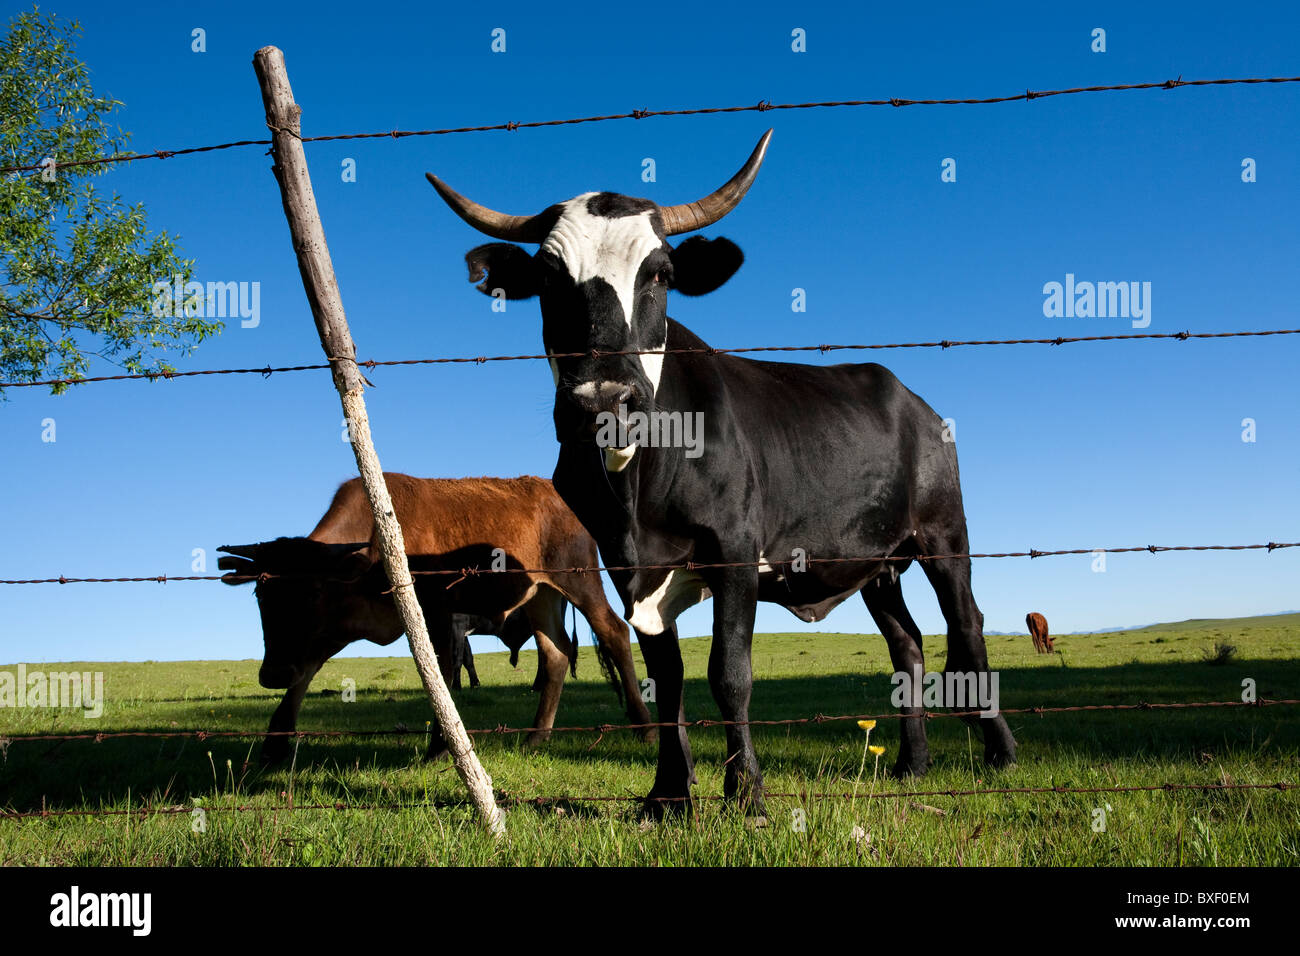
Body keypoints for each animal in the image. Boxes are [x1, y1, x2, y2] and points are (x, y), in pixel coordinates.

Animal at [218, 474, 653, 764]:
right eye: (261, 595)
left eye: (313, 592)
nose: (271, 674)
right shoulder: (338, 626)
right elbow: (306, 670)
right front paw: (275, 740)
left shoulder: (439, 615)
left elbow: (443, 672)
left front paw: (441, 747)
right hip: (541, 597)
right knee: (556, 653)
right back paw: (536, 736)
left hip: (580, 579)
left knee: (614, 631)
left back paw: (645, 727)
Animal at [427, 129, 1017, 817]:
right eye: (549, 279)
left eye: (660, 273)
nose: (603, 398)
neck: (637, 489)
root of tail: (910, 398)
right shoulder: (630, 570)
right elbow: (668, 679)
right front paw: (667, 793)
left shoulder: (735, 550)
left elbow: (729, 672)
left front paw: (746, 793)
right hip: (877, 562)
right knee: (909, 645)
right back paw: (911, 764)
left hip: (944, 535)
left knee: (967, 626)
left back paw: (1000, 753)